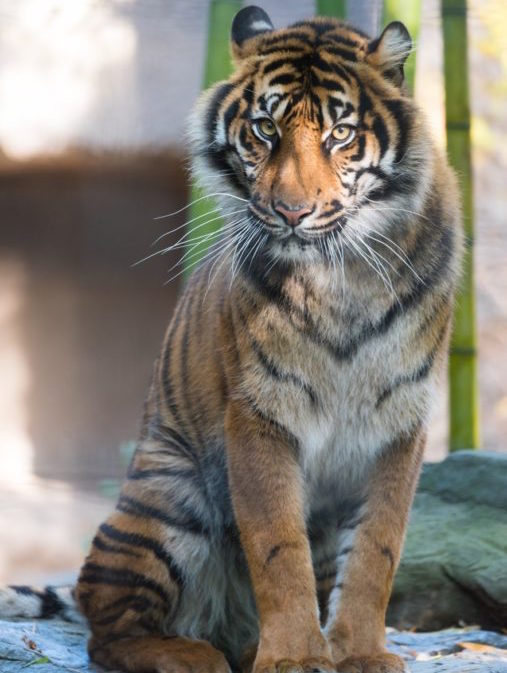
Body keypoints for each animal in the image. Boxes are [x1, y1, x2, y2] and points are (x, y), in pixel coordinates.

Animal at [2, 6, 462, 673]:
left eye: (340, 134)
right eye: (265, 129)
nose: (291, 212)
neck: (340, 276)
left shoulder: (399, 421)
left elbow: (377, 550)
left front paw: (359, 654)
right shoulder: (258, 414)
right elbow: (277, 547)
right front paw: (296, 657)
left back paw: (248, 647)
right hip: (171, 497)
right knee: (107, 627)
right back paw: (190, 652)